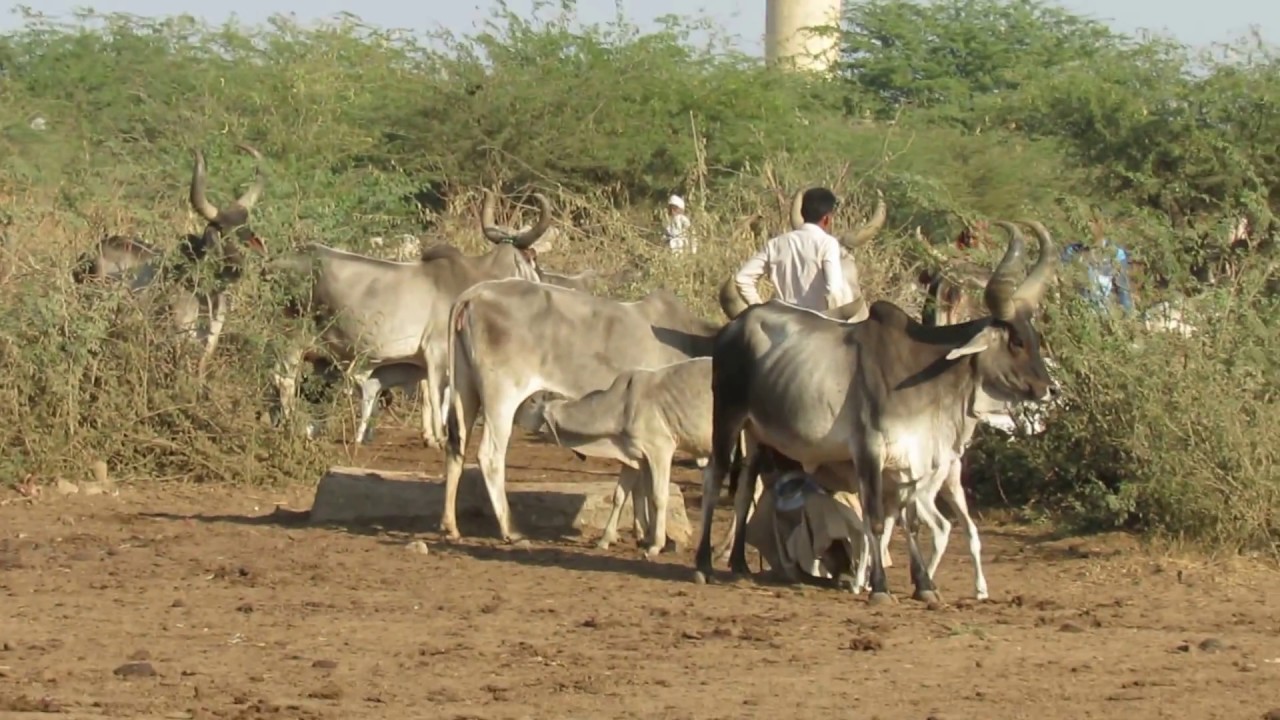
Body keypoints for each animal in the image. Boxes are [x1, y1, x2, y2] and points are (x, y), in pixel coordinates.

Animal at [268, 190, 553, 447]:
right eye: (534, 259)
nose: (543, 280)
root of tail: (273, 263)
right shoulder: (438, 351)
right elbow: (439, 394)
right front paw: (440, 438)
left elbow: (432, 393)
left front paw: (431, 435)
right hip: (293, 337)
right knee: (284, 378)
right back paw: (296, 429)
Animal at [695, 220, 1060, 605]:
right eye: (1016, 341)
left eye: (1034, 335)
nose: (1051, 389)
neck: (924, 373)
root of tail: (735, 325)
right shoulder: (868, 450)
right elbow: (876, 520)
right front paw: (880, 588)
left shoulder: (910, 461)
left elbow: (908, 521)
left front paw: (924, 585)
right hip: (727, 417)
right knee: (715, 478)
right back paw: (704, 565)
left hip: (756, 433)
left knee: (745, 489)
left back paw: (739, 565)